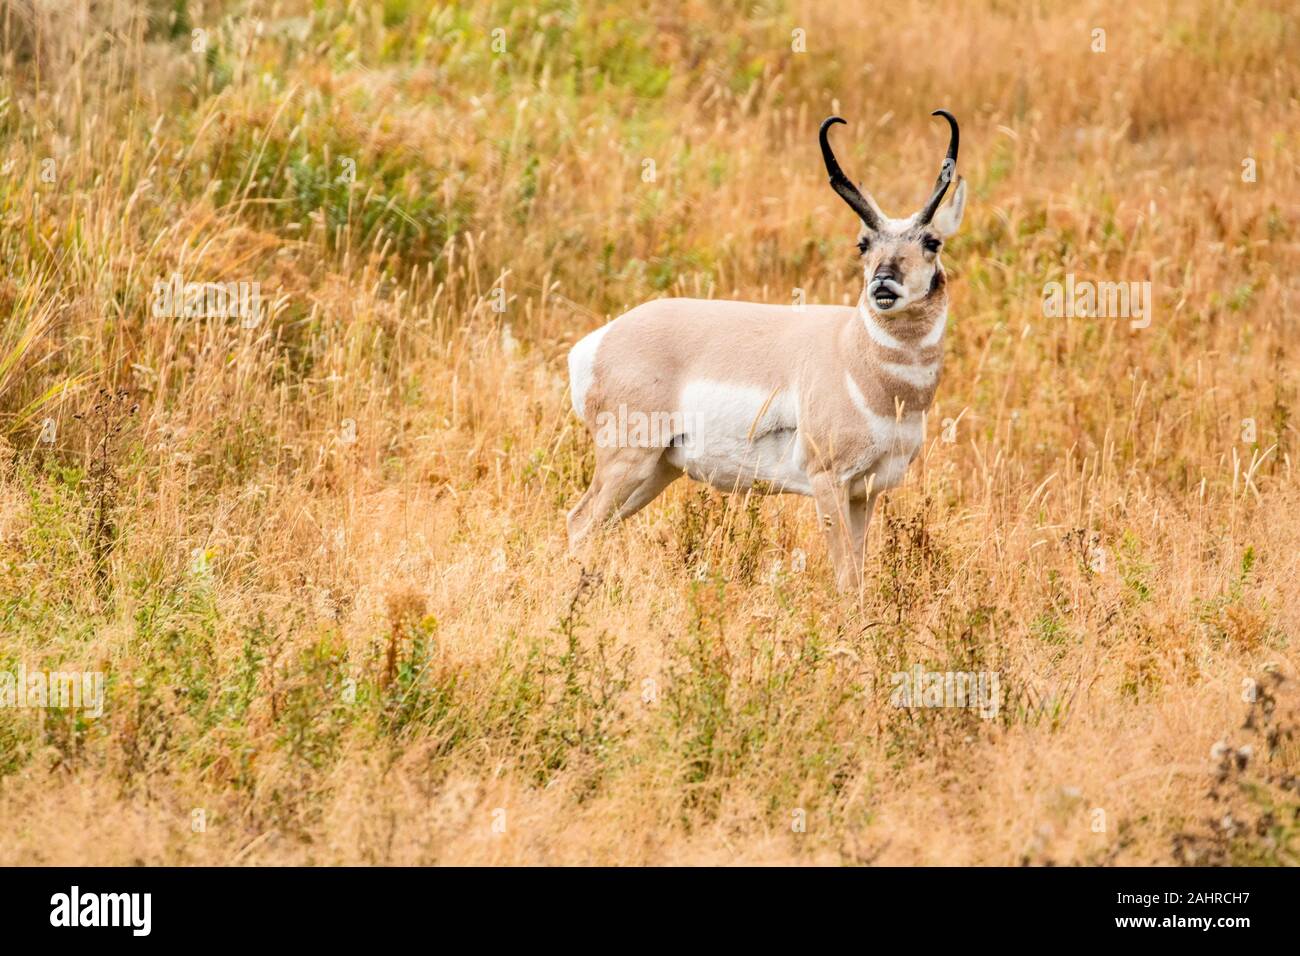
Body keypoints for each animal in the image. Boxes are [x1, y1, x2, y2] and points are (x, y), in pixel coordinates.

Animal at [566, 111, 965, 592]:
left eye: (932, 241)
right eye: (863, 244)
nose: (883, 284)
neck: (853, 355)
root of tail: (598, 341)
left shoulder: (865, 492)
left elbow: (858, 577)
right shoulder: (828, 482)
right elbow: (845, 578)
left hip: (657, 471)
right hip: (628, 462)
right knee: (579, 522)